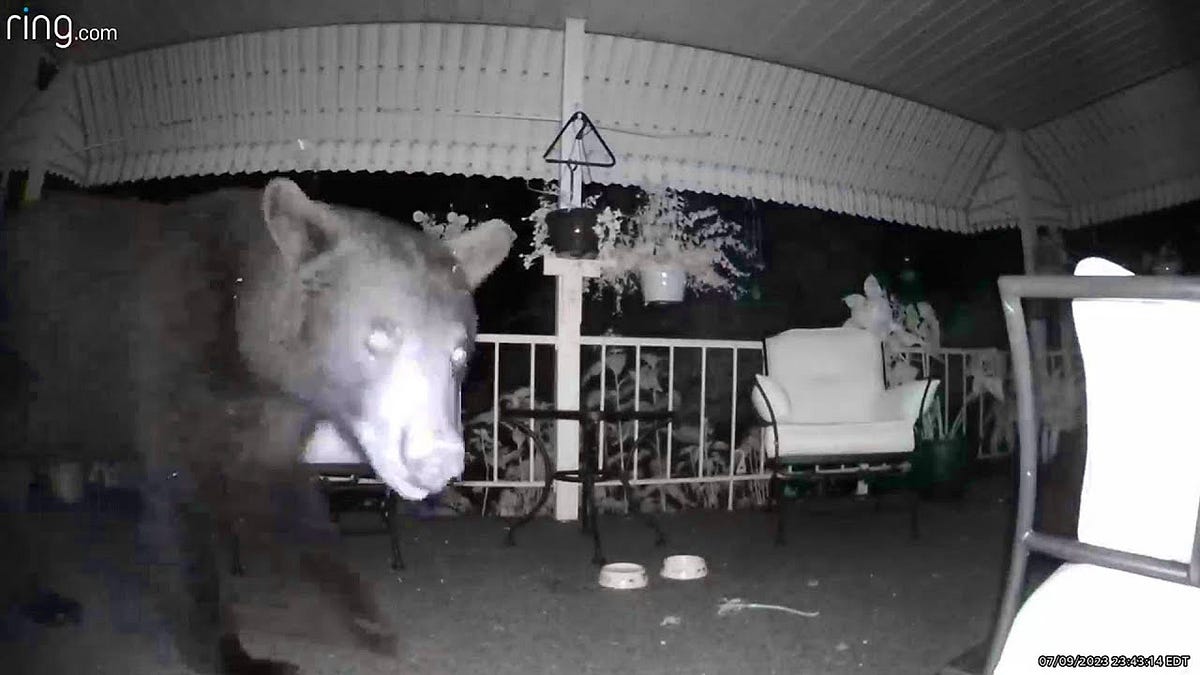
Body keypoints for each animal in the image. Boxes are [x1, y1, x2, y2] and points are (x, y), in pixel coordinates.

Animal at [0, 178, 515, 673]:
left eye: (460, 355)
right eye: (378, 337)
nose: (437, 460)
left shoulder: (275, 416)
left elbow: (287, 503)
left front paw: (364, 619)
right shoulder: (175, 364)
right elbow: (181, 510)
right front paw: (236, 658)